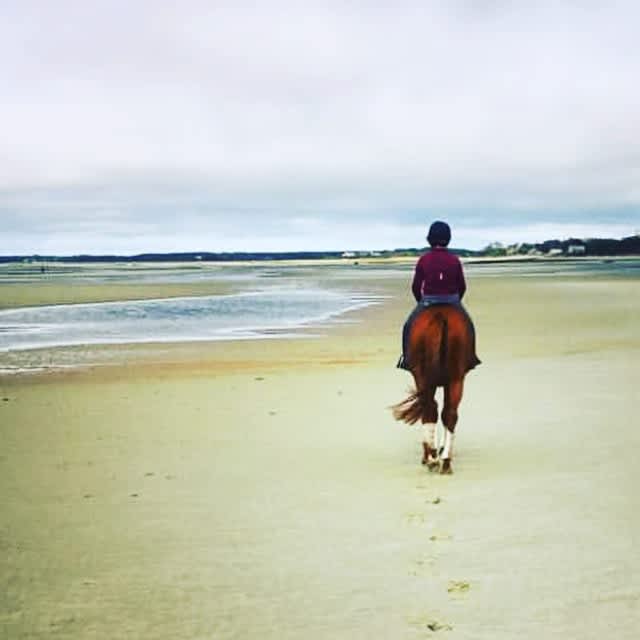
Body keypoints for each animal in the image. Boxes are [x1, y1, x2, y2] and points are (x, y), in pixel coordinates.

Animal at [393, 304, 478, 474]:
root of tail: (440, 316)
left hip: (422, 376)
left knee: (430, 409)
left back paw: (432, 458)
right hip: (456, 378)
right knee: (449, 413)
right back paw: (445, 460)